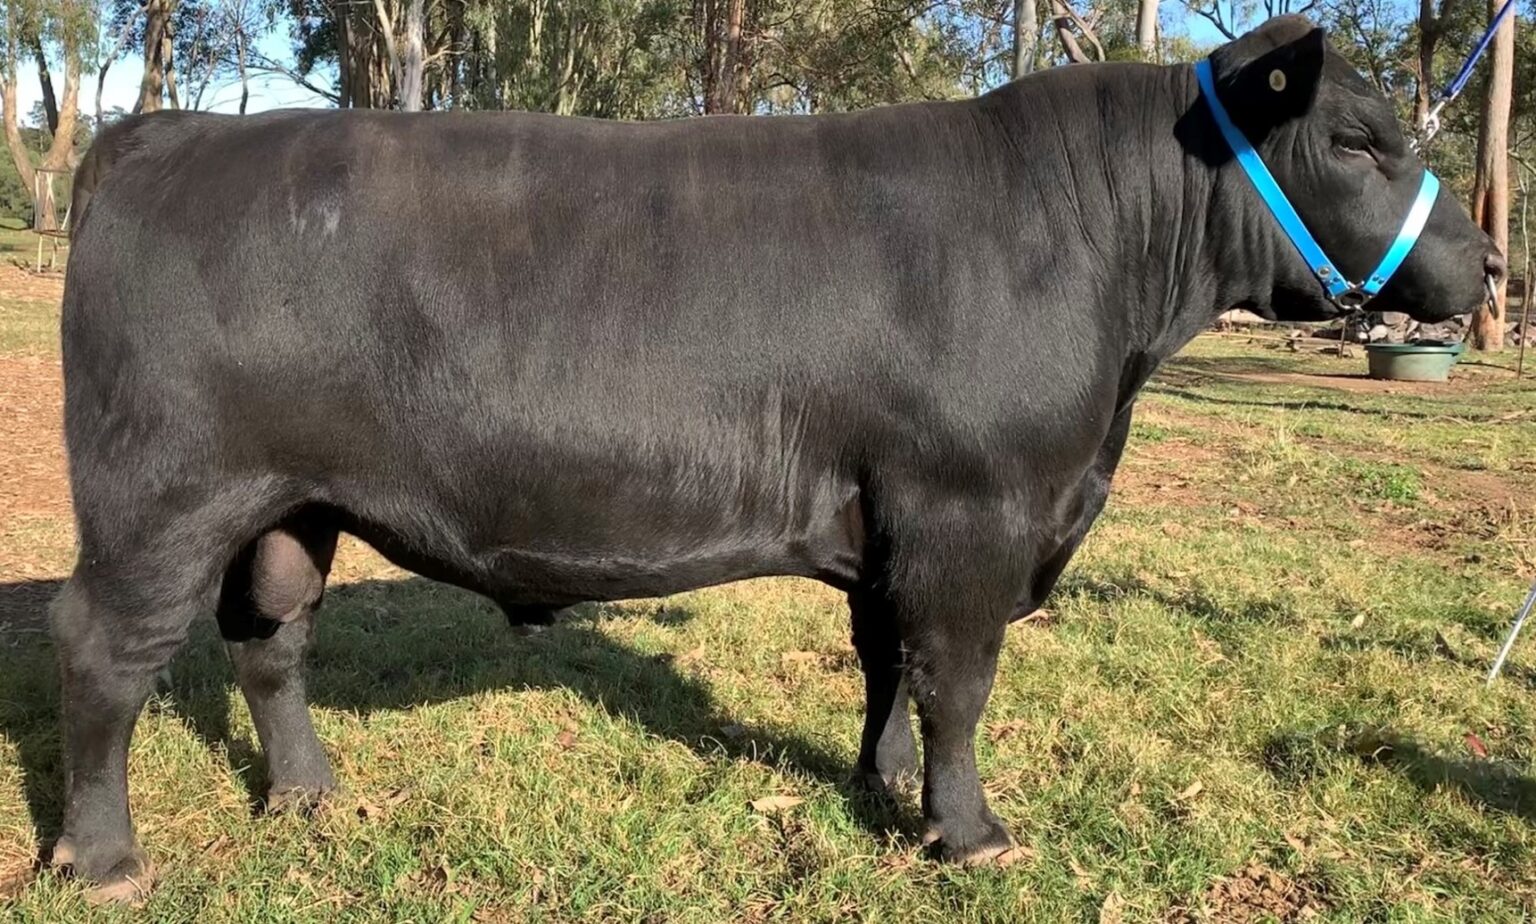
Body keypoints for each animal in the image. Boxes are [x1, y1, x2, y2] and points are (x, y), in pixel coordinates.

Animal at [47, 15, 1503, 902]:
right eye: (1356, 141)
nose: (1491, 264)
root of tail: (172, 129)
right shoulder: (972, 508)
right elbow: (960, 679)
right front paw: (971, 833)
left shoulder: (894, 517)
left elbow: (888, 665)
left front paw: (885, 784)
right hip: (160, 498)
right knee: (106, 653)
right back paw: (100, 857)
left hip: (286, 503)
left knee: (271, 637)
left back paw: (308, 797)